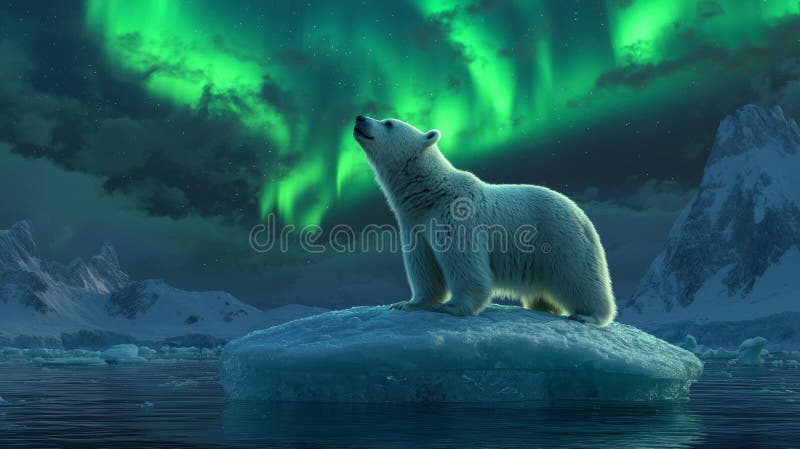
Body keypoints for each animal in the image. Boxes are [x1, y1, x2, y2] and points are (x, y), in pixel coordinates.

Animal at [353, 115, 617, 326]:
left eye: (388, 123)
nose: (359, 118)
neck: (432, 195)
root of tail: (581, 213)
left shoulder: (457, 219)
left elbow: (464, 264)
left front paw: (452, 307)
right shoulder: (415, 225)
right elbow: (423, 266)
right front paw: (407, 304)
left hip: (560, 238)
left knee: (579, 278)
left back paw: (587, 315)